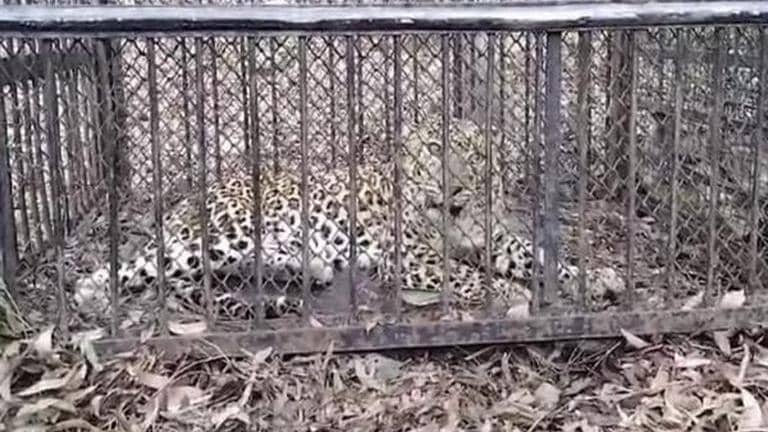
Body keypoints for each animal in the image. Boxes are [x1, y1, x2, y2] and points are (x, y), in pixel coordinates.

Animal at [73, 117, 576, 319]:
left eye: (472, 153)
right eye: (434, 150)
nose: (453, 186)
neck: (457, 216)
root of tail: (183, 204)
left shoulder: (494, 238)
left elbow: (533, 253)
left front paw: (580, 276)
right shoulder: (408, 257)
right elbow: (464, 274)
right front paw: (510, 292)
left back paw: (308, 271)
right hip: (230, 233)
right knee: (148, 272)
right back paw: (89, 291)